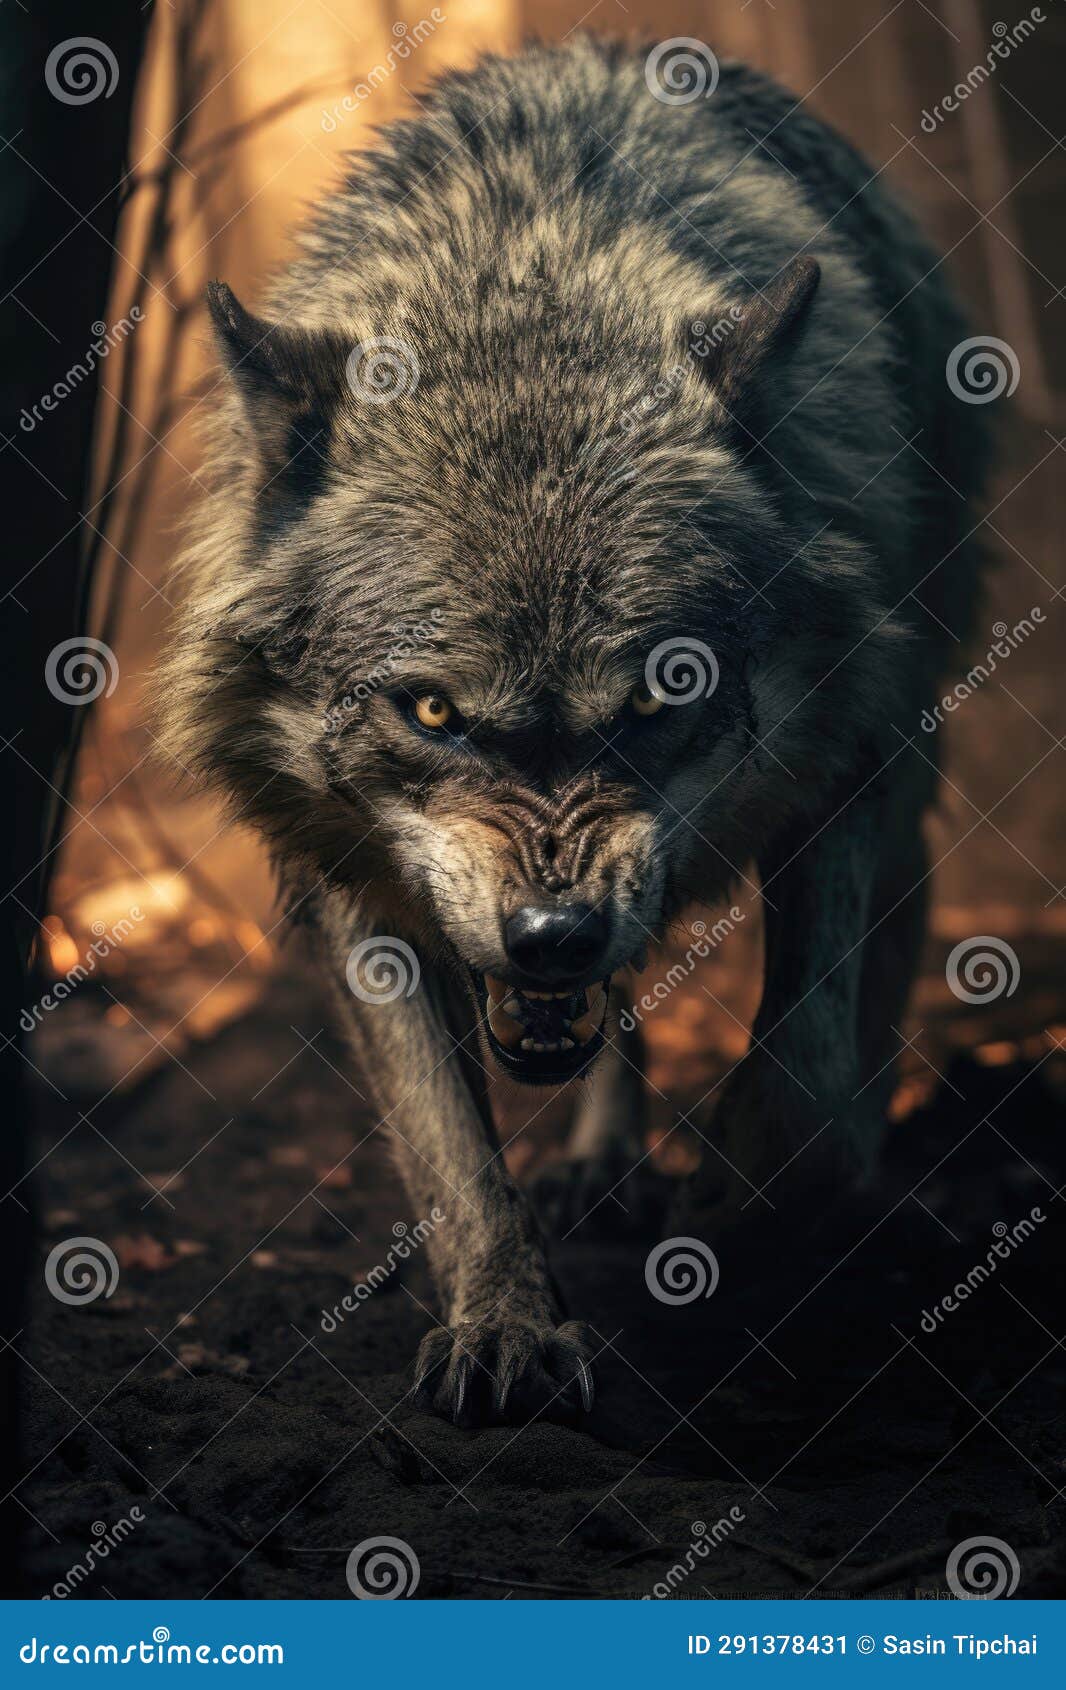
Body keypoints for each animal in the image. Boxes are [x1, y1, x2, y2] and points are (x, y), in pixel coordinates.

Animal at [160, 37, 989, 1425]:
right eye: (432, 710)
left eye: (663, 691)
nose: (551, 935)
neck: (524, 281)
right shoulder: (349, 878)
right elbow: (451, 1154)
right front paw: (506, 1323)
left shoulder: (848, 768)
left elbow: (808, 1085)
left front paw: (743, 1200)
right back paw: (601, 1163)